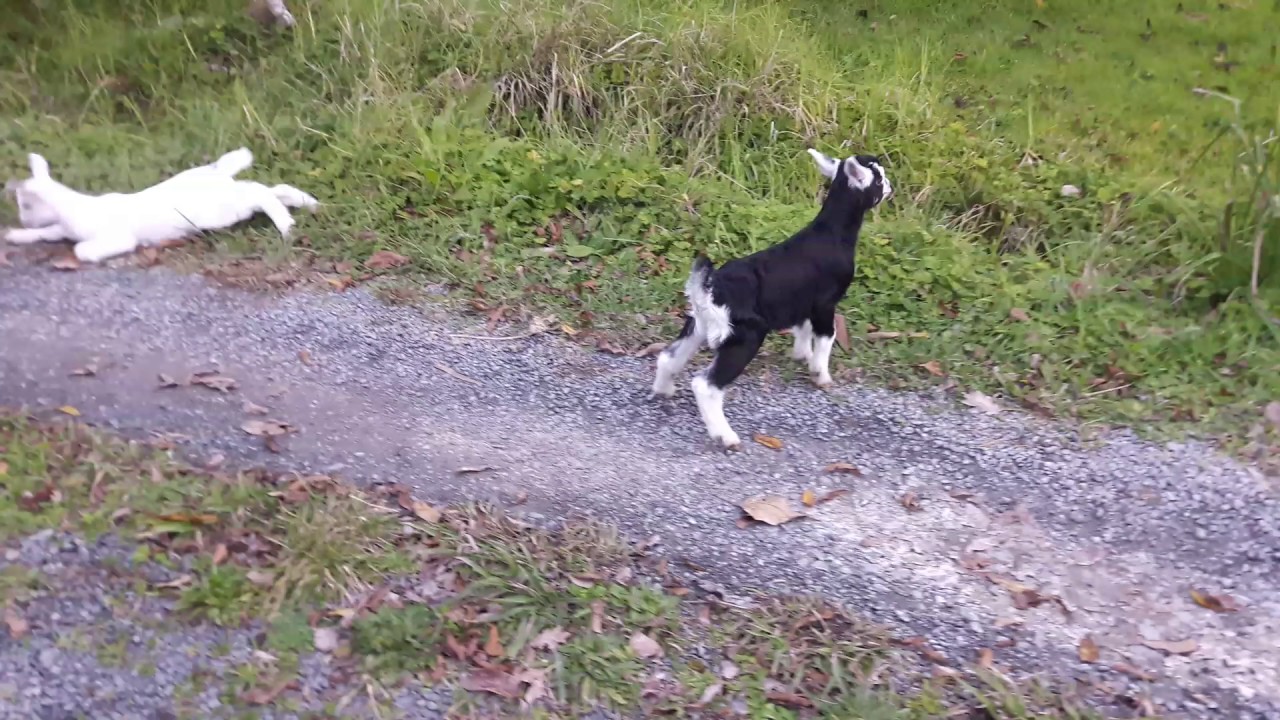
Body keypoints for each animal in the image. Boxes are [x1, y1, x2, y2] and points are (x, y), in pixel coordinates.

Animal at [3, 148, 319, 263]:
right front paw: (15, 235)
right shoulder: (60, 228)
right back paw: (307, 203)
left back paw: (287, 224)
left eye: (25, 205)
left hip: (222, 210)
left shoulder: (117, 238)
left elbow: (83, 250)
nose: (24, 220)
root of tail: (219, 172)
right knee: (269, 189)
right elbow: (47, 232)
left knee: (259, 193)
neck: (72, 208)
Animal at [650, 148, 892, 450]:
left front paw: (802, 355)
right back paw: (725, 436)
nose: (890, 187)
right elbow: (826, 338)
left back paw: (663, 389)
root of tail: (710, 287)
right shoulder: (825, 304)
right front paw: (820, 375)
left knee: (669, 357)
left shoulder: (802, 301)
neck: (831, 233)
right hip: (745, 336)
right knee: (707, 385)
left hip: (698, 326)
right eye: (879, 180)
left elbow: (802, 329)